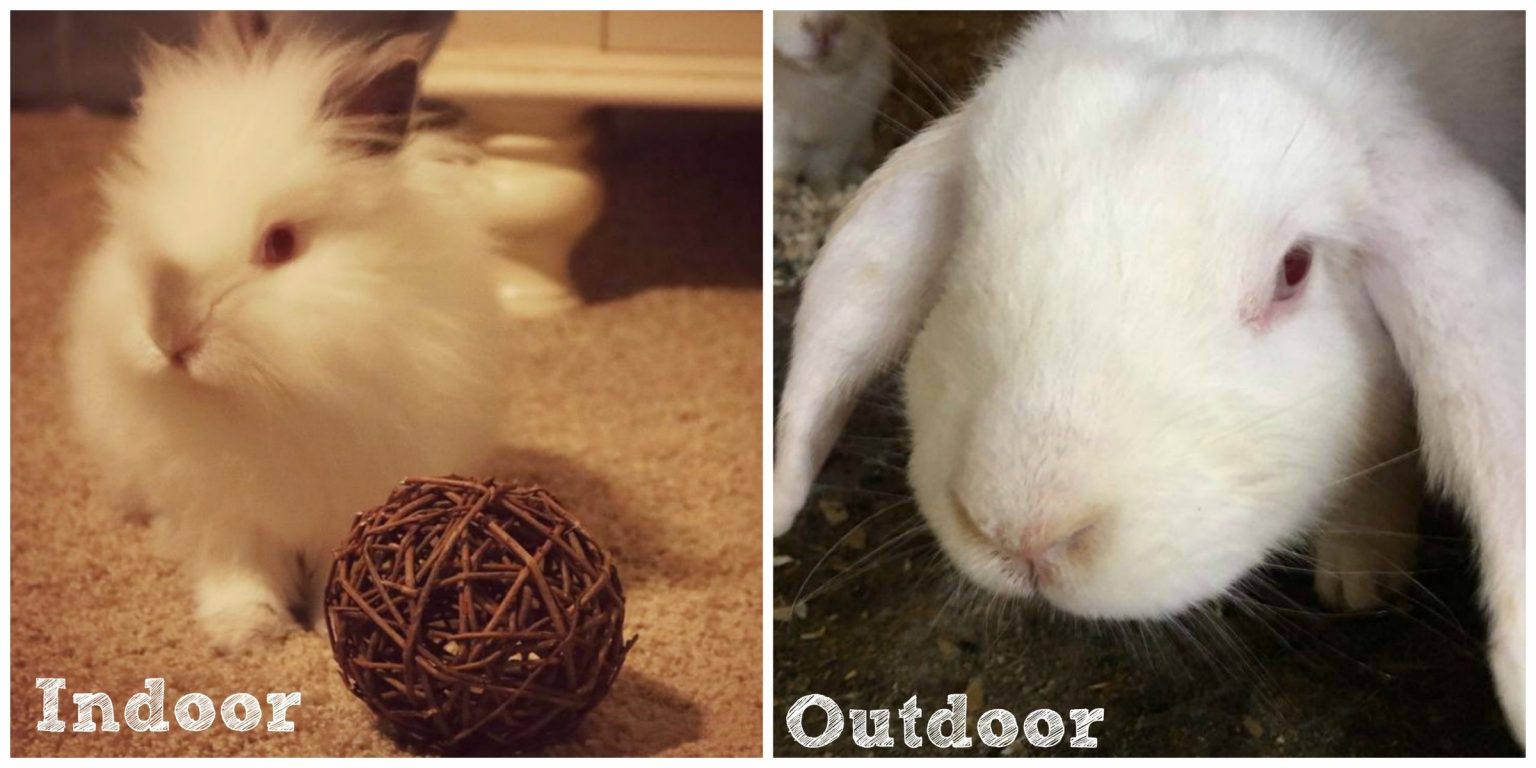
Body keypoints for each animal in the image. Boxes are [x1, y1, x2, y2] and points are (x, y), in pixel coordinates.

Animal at [63, 11, 513, 651]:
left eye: (280, 243)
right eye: (144, 215)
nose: (169, 333)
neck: (266, 400)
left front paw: (339, 626)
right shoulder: (224, 511)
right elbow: (237, 569)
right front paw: (246, 632)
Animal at [774, 11, 892, 191]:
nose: (823, 28)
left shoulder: (841, 137)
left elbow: (823, 171)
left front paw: (829, 192)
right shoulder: (781, 137)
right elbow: (784, 164)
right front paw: (780, 188)